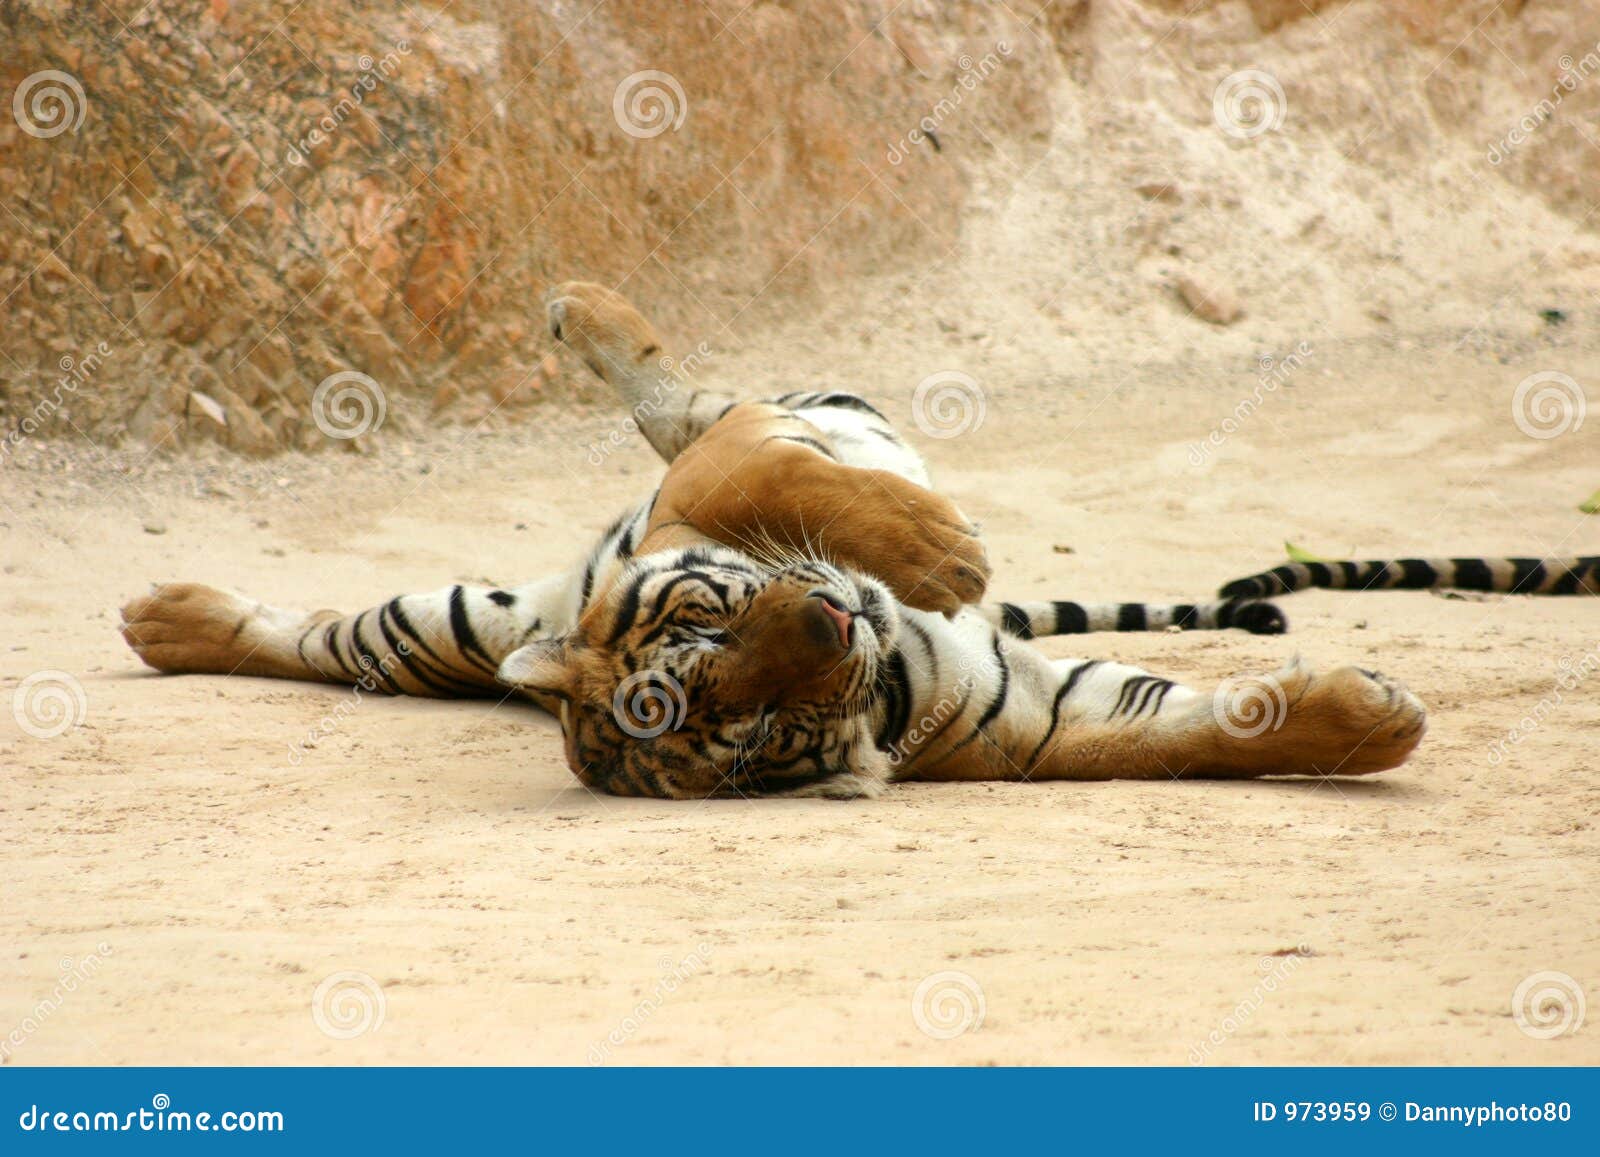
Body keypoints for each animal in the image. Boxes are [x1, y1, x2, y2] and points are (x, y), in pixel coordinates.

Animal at [120, 281, 1428, 800]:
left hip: (767, 415)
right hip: (448, 629)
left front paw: (942, 552)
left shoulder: (715, 488)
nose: (835, 620)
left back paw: (582, 305)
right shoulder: (1039, 726)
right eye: (744, 723)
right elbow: (1182, 732)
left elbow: (760, 468)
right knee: (327, 637)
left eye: (708, 615)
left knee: (684, 400)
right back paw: (166, 617)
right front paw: (1376, 722)